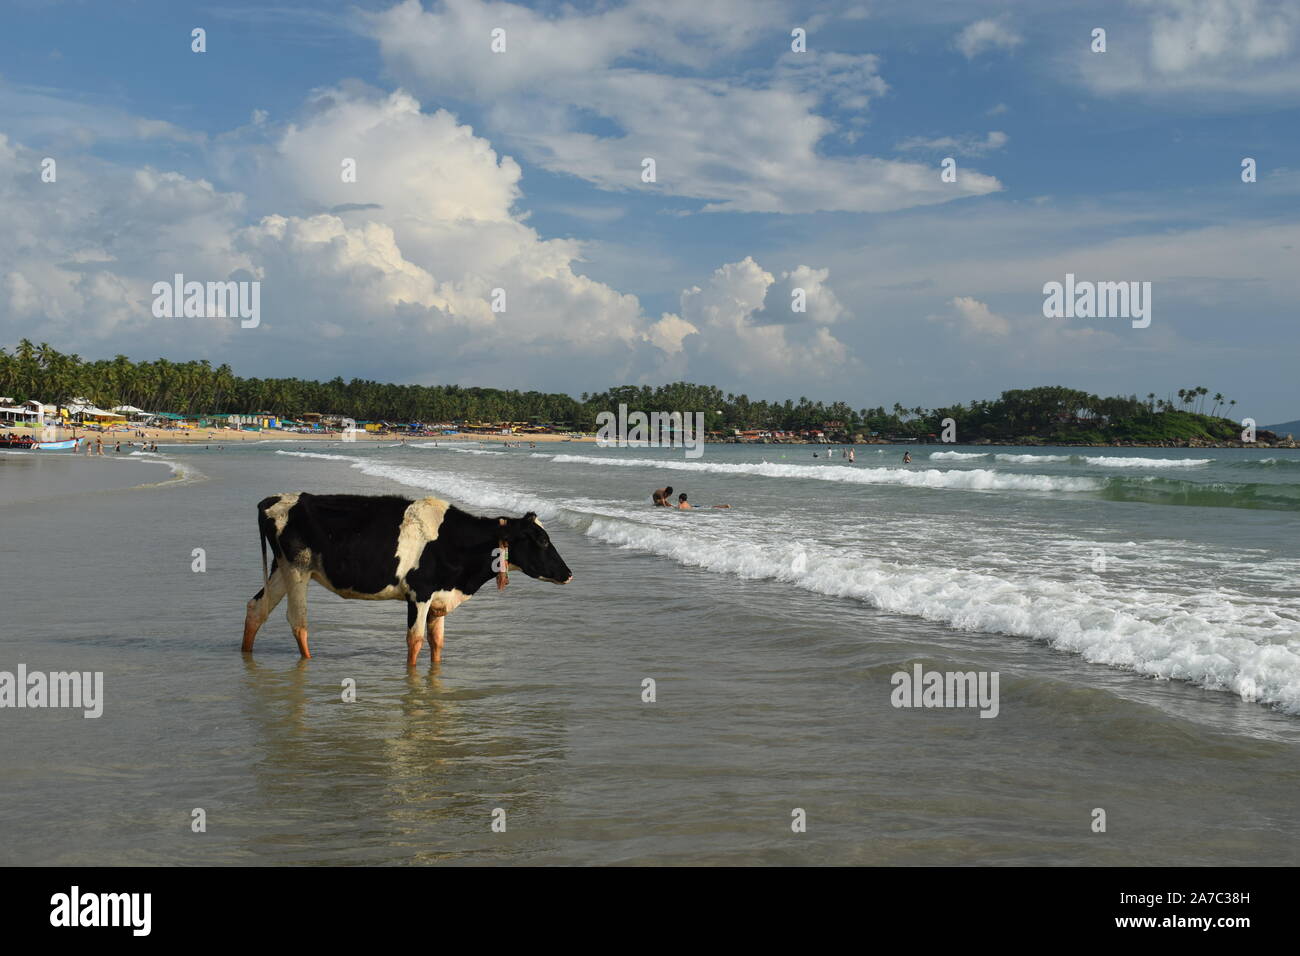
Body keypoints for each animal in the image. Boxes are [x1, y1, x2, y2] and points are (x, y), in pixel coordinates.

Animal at [241, 493, 572, 666]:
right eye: (542, 540)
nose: (568, 574)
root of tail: (275, 500)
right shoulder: (420, 593)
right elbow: (415, 640)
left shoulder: (440, 596)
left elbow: (437, 642)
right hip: (298, 570)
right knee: (298, 621)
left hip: (283, 568)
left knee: (257, 607)